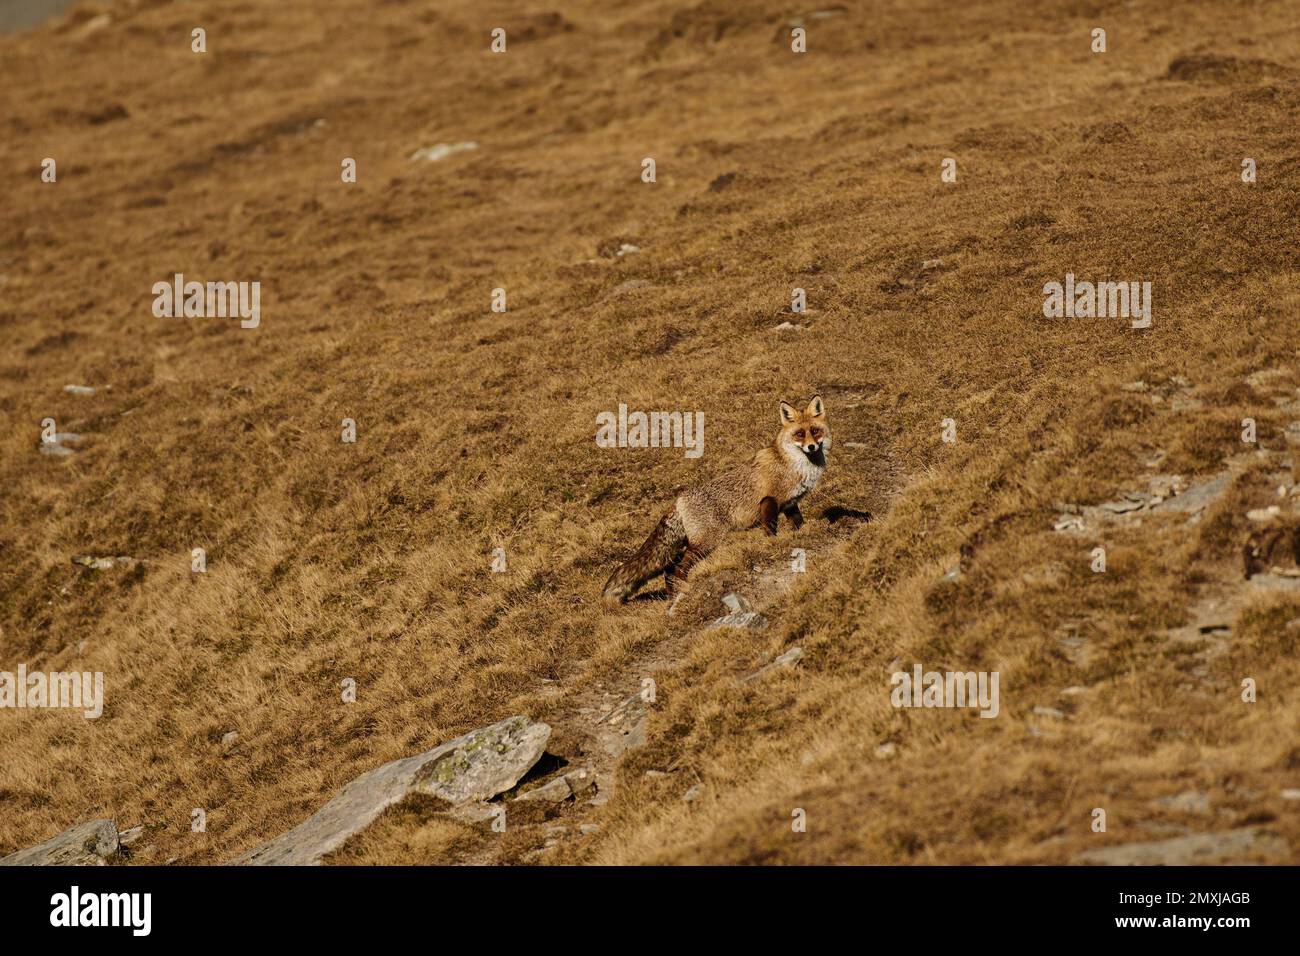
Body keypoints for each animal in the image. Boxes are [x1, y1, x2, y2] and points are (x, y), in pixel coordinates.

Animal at [603, 395, 830, 606]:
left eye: (815, 431)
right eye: (799, 434)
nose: (811, 447)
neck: (794, 466)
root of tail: (678, 500)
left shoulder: (790, 504)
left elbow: (799, 523)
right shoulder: (769, 501)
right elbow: (770, 530)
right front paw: (772, 544)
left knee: (669, 570)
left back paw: (673, 595)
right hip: (707, 542)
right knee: (677, 569)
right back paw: (682, 592)